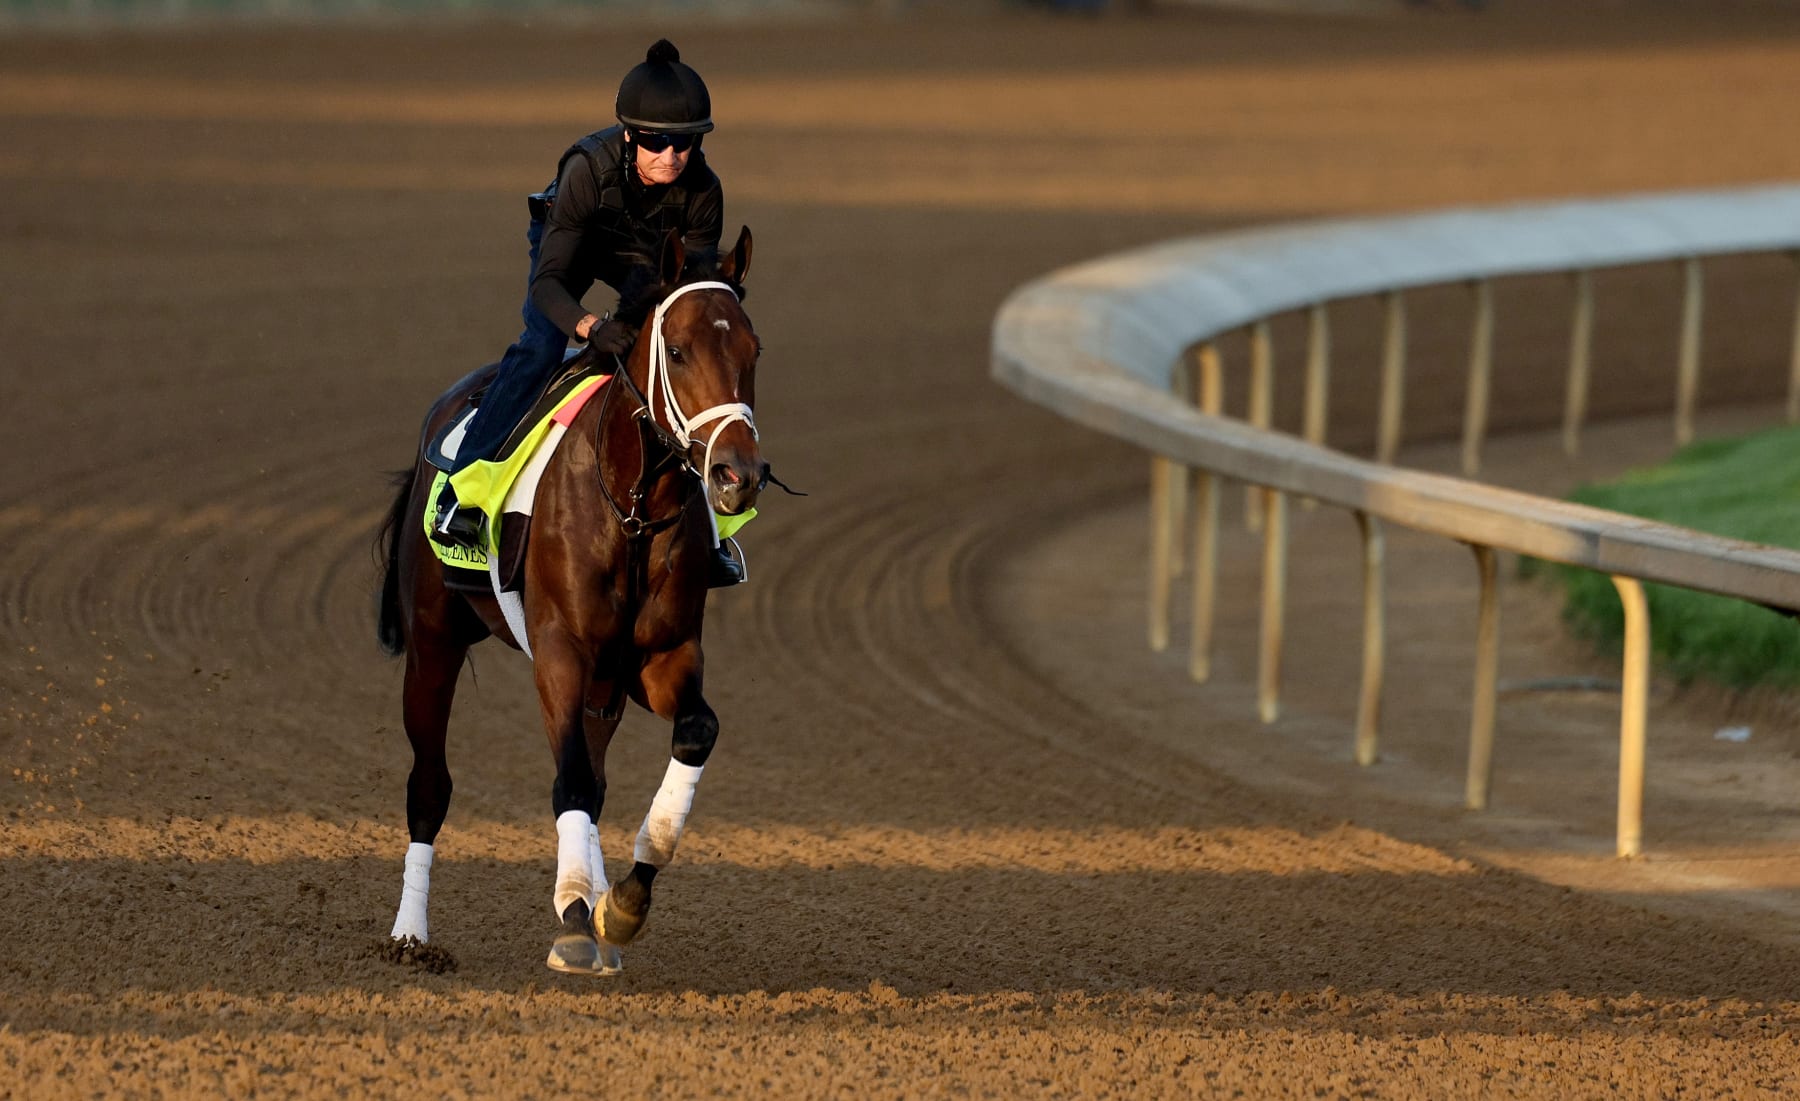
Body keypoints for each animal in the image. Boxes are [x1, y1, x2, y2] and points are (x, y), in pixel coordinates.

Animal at [373, 227, 765, 974]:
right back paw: (410, 936)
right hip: (434, 641)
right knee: (430, 783)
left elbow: (691, 734)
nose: (738, 474)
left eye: (753, 351)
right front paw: (579, 918)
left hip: (604, 684)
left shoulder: (659, 656)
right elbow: (571, 781)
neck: (632, 511)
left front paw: (619, 905)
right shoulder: (560, 651)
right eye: (677, 350)